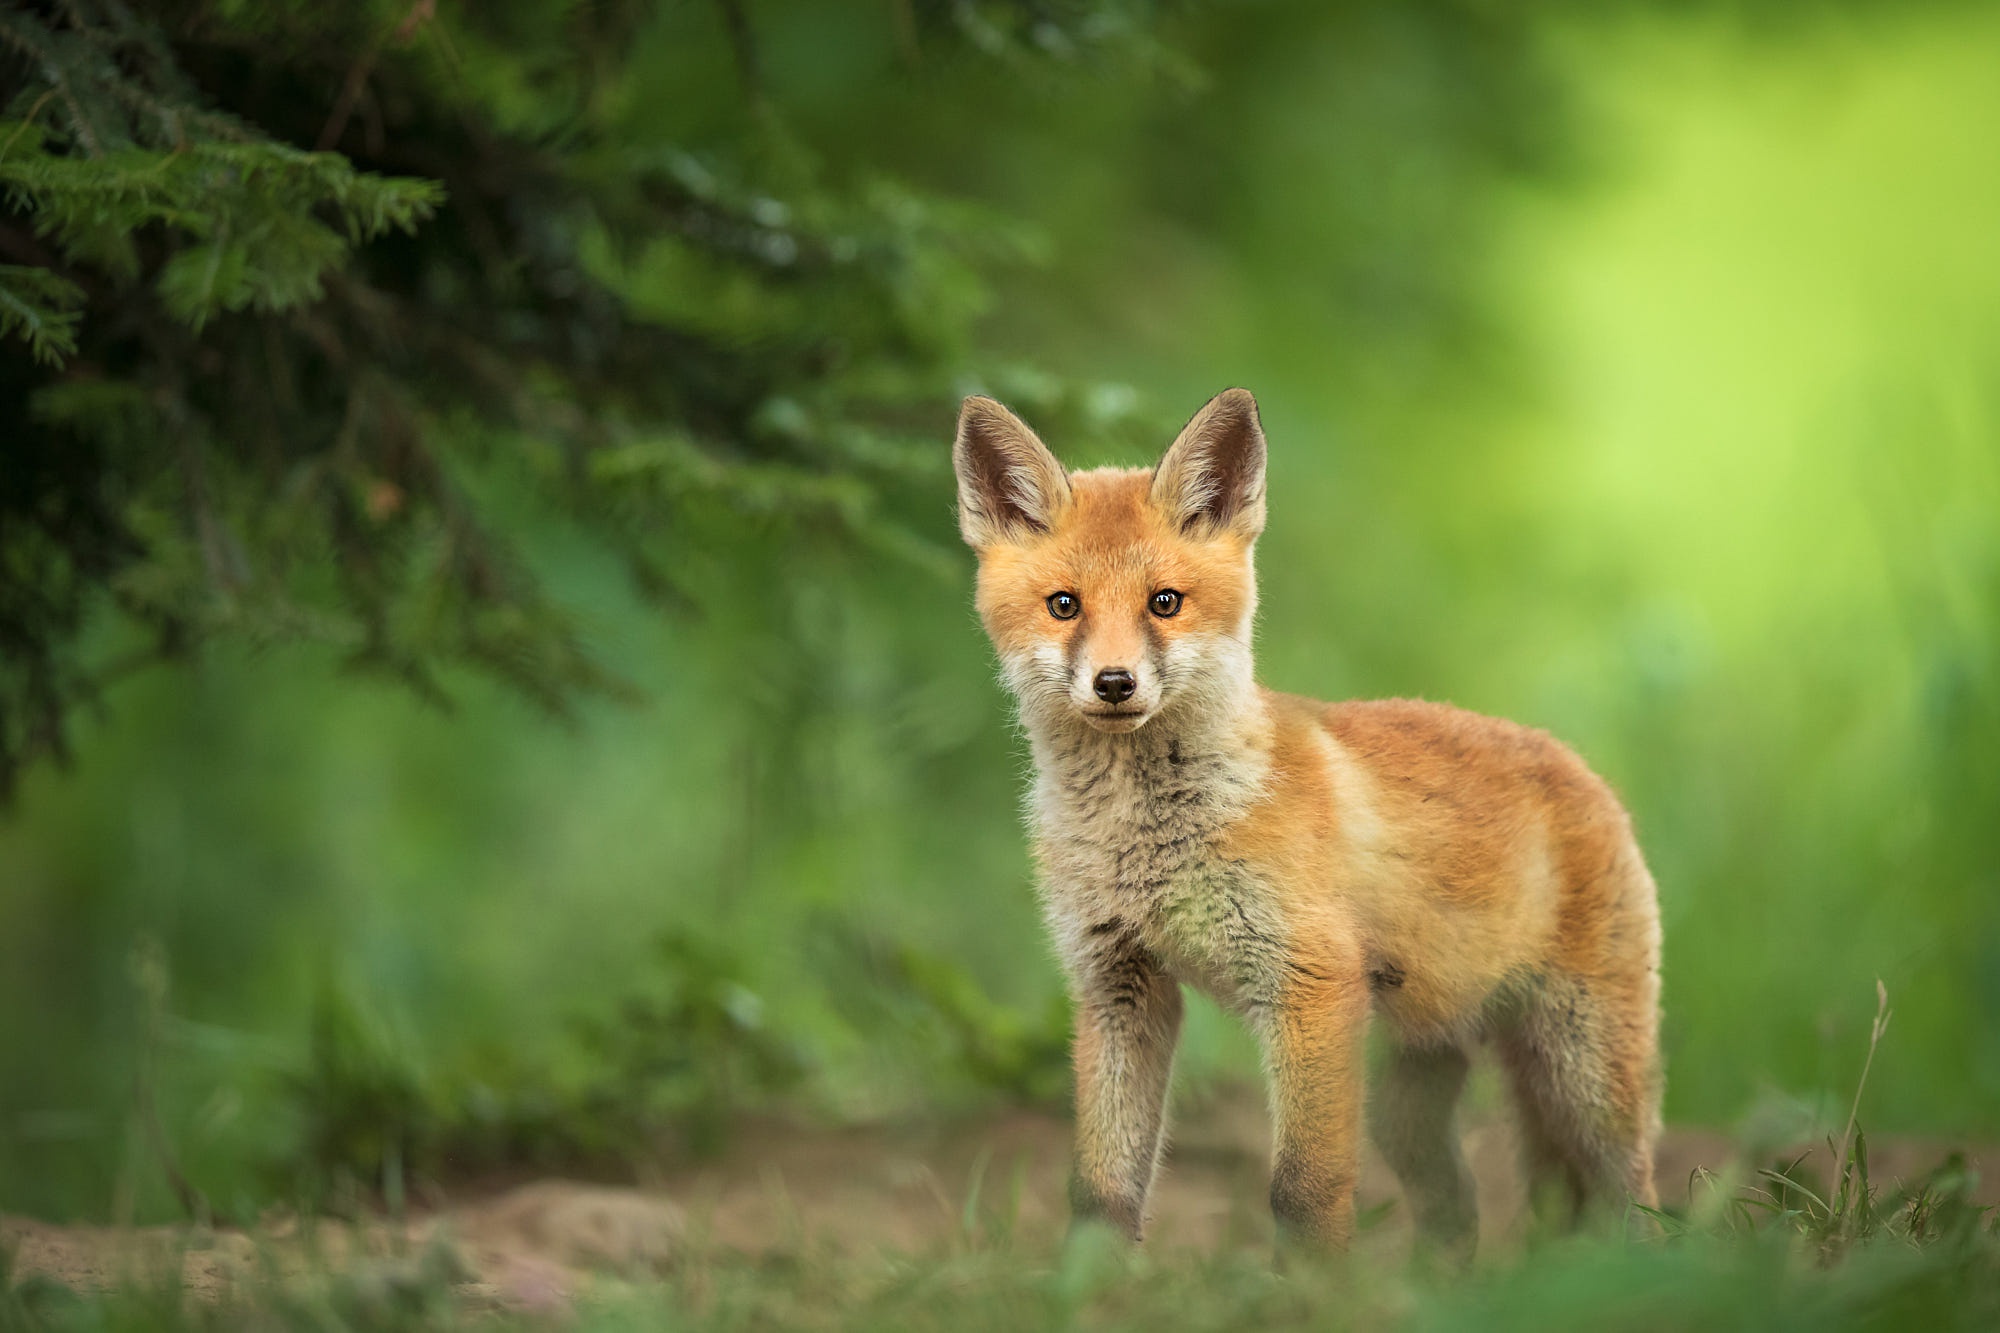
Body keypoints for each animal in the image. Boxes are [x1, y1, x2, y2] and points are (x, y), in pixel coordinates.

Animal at [951, 388, 1662, 1254]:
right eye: (1064, 606)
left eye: (1164, 602)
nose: (1114, 682)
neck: (1152, 843)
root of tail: (1582, 767)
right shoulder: (1118, 985)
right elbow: (1103, 1193)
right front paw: (1092, 1279)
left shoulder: (1307, 984)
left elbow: (1304, 1190)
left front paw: (1316, 1282)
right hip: (1407, 1098)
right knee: (1458, 1205)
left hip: (1582, 1071)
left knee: (1635, 1193)